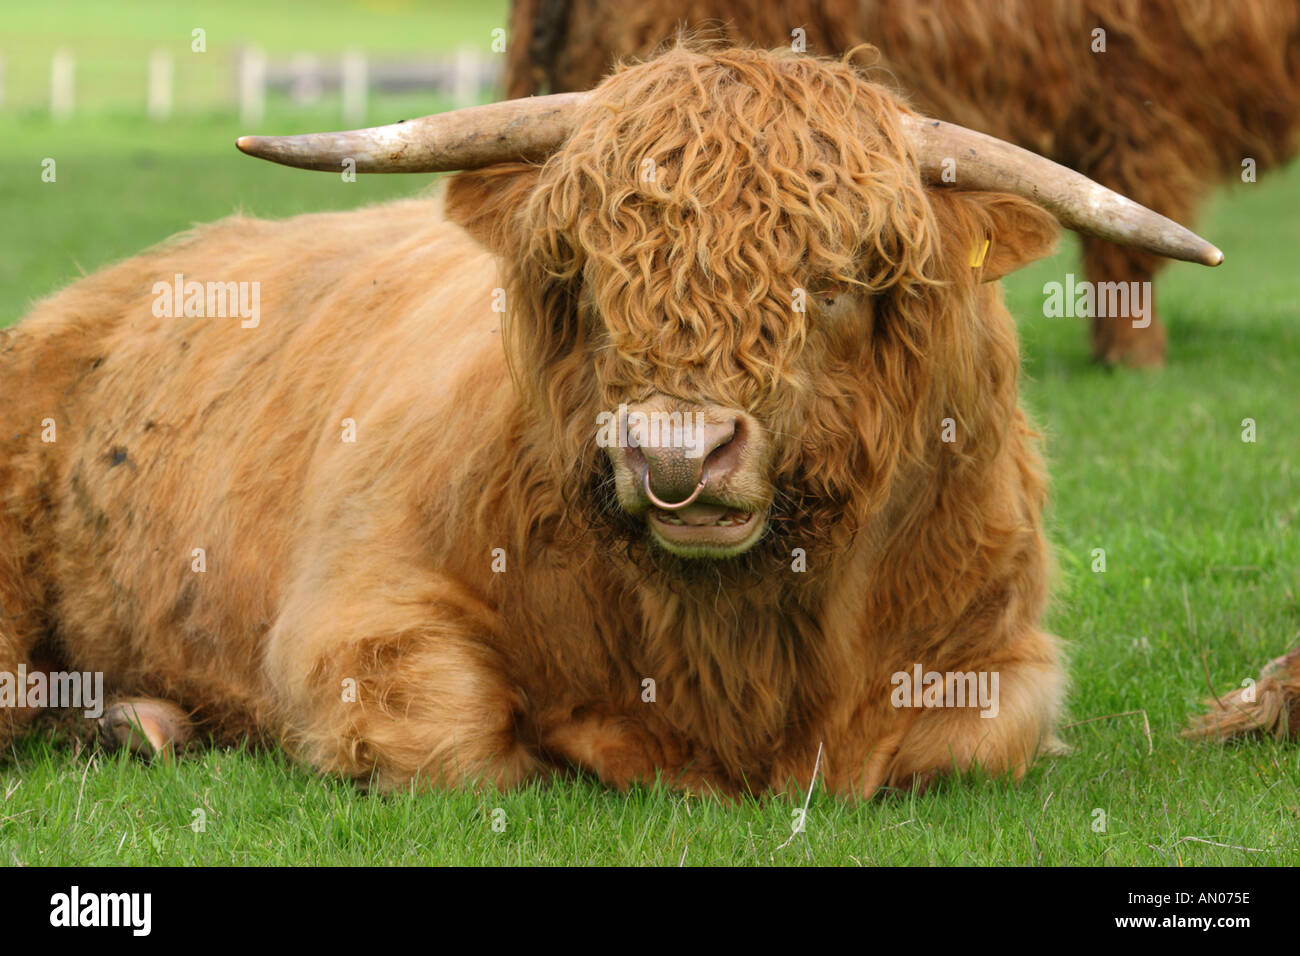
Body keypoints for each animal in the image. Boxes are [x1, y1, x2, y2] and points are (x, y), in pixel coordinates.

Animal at [0, 47, 1221, 797]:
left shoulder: (996, 654)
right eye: (588, 277)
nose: (675, 454)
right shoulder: (357, 611)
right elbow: (458, 737)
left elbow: (965, 740)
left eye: (833, 281)